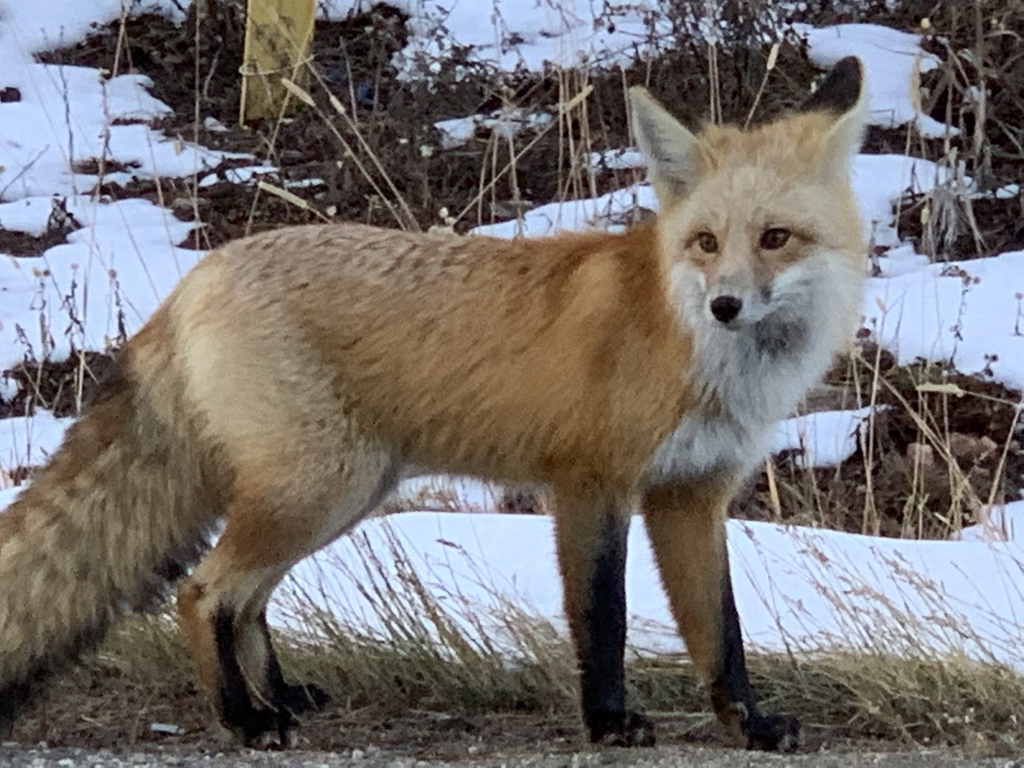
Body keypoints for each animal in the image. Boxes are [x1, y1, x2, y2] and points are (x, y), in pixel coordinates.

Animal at [0, 57, 867, 751]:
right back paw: (245, 722)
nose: (725, 306)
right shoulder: (591, 482)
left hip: (341, 493)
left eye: (776, 238)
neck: (692, 348)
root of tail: (195, 279)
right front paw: (610, 724)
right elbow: (604, 618)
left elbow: (721, 633)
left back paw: (281, 700)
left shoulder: (691, 494)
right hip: (318, 489)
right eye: (707, 243)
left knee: (248, 602)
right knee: (205, 592)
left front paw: (752, 727)